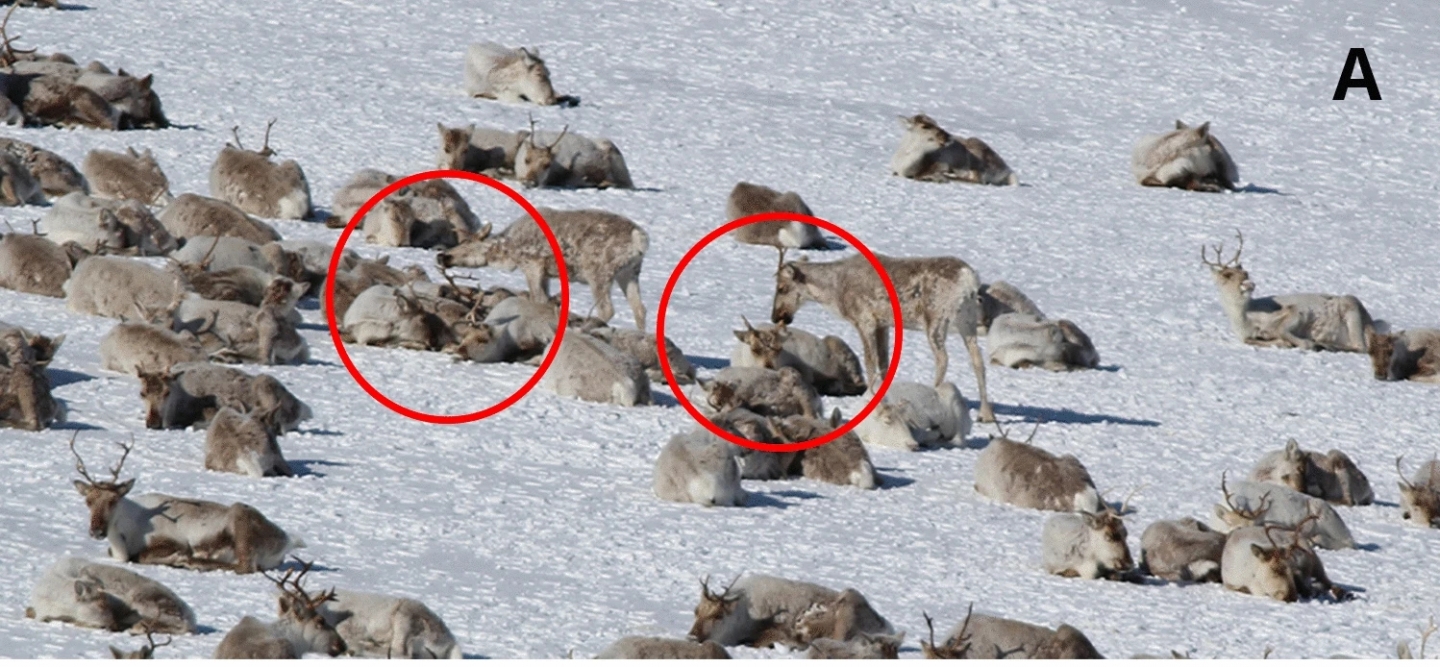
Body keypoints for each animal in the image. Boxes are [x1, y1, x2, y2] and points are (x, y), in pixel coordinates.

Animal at [69, 434, 306, 574]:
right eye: (88, 501)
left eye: (113, 500)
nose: (96, 531)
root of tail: (287, 540)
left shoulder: (173, 541)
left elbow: (142, 556)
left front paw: (179, 558)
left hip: (241, 522)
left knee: (245, 566)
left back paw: (193, 562)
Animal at [437, 207, 649, 328]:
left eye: (466, 244)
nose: (442, 256)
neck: (508, 251)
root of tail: (639, 239)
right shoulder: (546, 273)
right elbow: (545, 300)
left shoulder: (532, 264)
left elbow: (537, 299)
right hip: (630, 272)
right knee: (639, 309)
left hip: (598, 271)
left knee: (607, 309)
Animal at [730, 317, 866, 396]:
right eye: (754, 349)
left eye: (779, 349)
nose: (769, 368)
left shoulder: (803, 370)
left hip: (839, 346)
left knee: (860, 385)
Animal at [772, 252, 995, 422]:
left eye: (781, 288)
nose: (776, 316)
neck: (835, 293)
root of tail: (969, 279)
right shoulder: (883, 324)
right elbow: (884, 363)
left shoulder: (865, 320)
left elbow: (870, 363)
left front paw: (869, 397)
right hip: (967, 321)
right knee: (978, 360)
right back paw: (986, 414)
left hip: (936, 318)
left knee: (943, 358)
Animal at [1201, 231, 1374, 353]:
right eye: (1227, 275)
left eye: (1246, 272)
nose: (1250, 284)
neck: (1245, 319)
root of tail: (1371, 321)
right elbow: (1252, 340)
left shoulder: (1297, 311)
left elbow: (1284, 331)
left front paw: (1307, 343)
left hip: (1352, 310)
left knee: (1361, 347)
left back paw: (1325, 344)